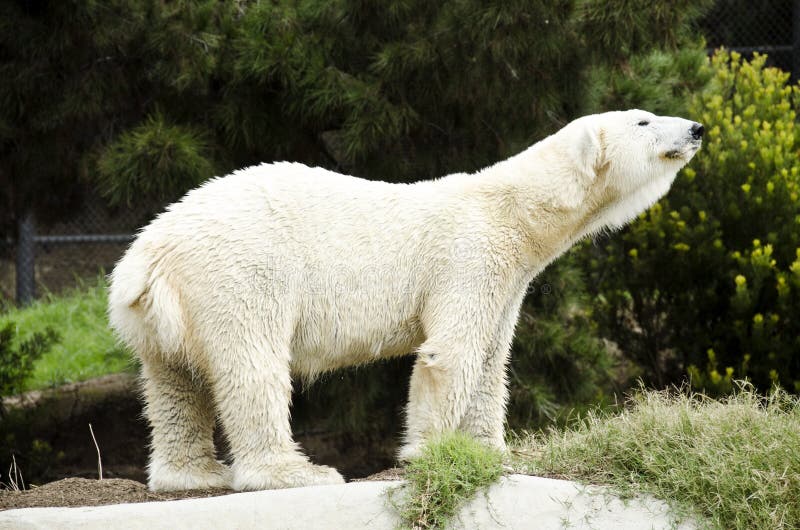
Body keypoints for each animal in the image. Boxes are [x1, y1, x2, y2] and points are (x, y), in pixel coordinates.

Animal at [108, 109, 703, 492]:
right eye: (644, 121)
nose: (697, 128)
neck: (513, 211)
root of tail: (146, 257)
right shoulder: (469, 256)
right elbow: (450, 355)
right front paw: (430, 452)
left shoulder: (507, 280)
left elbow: (492, 361)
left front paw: (489, 449)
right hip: (239, 276)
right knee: (251, 369)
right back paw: (295, 472)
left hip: (164, 314)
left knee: (173, 383)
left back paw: (190, 474)